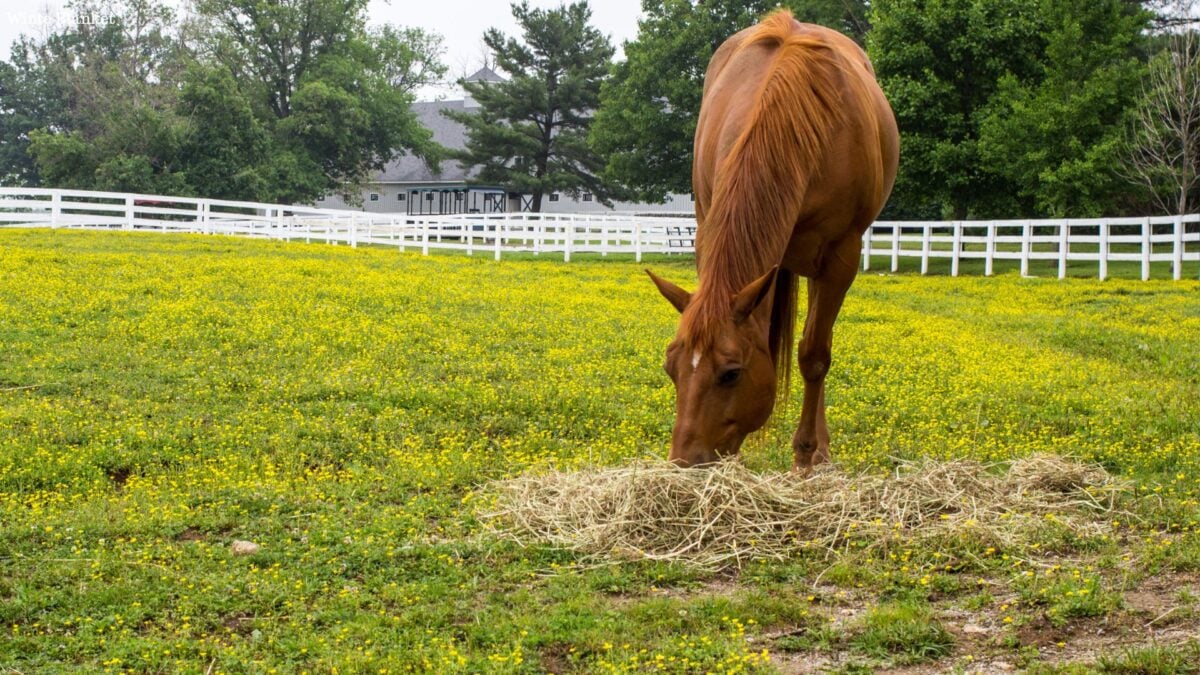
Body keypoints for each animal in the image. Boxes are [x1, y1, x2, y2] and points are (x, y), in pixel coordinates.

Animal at [646, 10, 899, 470]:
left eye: (731, 373)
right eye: (671, 367)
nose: (685, 464)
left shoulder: (841, 255)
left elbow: (814, 356)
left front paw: (805, 456)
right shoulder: (708, 230)